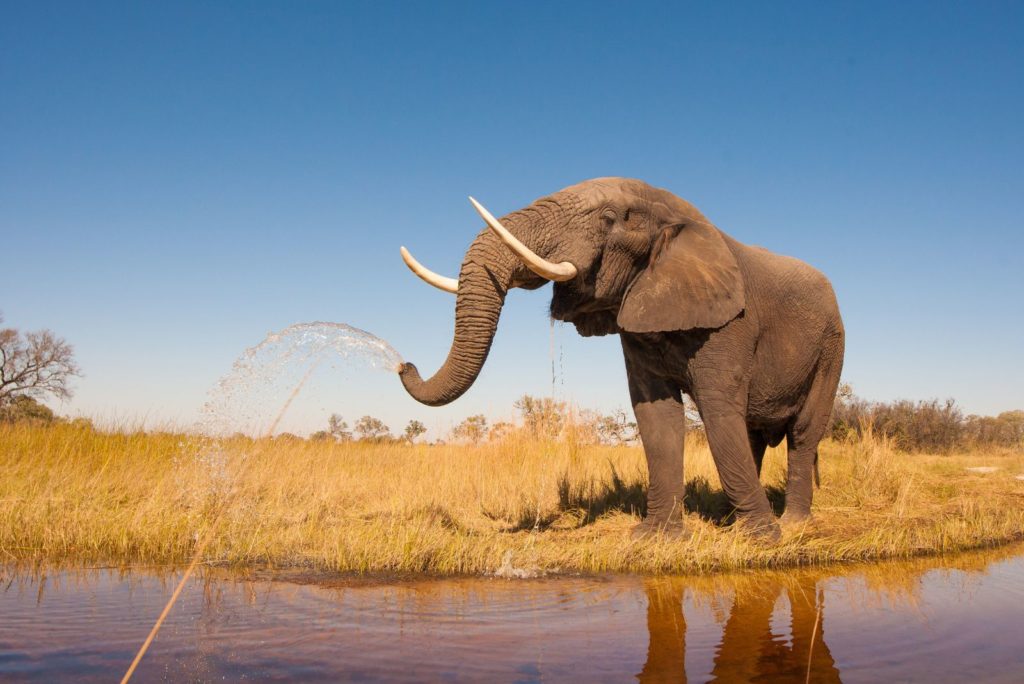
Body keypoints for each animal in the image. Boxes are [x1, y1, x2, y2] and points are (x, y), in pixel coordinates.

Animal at [398, 178, 844, 541]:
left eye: (610, 218)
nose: (404, 365)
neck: (679, 216)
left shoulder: (732, 322)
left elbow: (718, 410)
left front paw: (762, 540)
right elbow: (656, 414)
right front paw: (654, 538)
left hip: (832, 348)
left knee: (802, 432)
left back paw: (790, 524)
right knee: (752, 434)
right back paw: (735, 518)